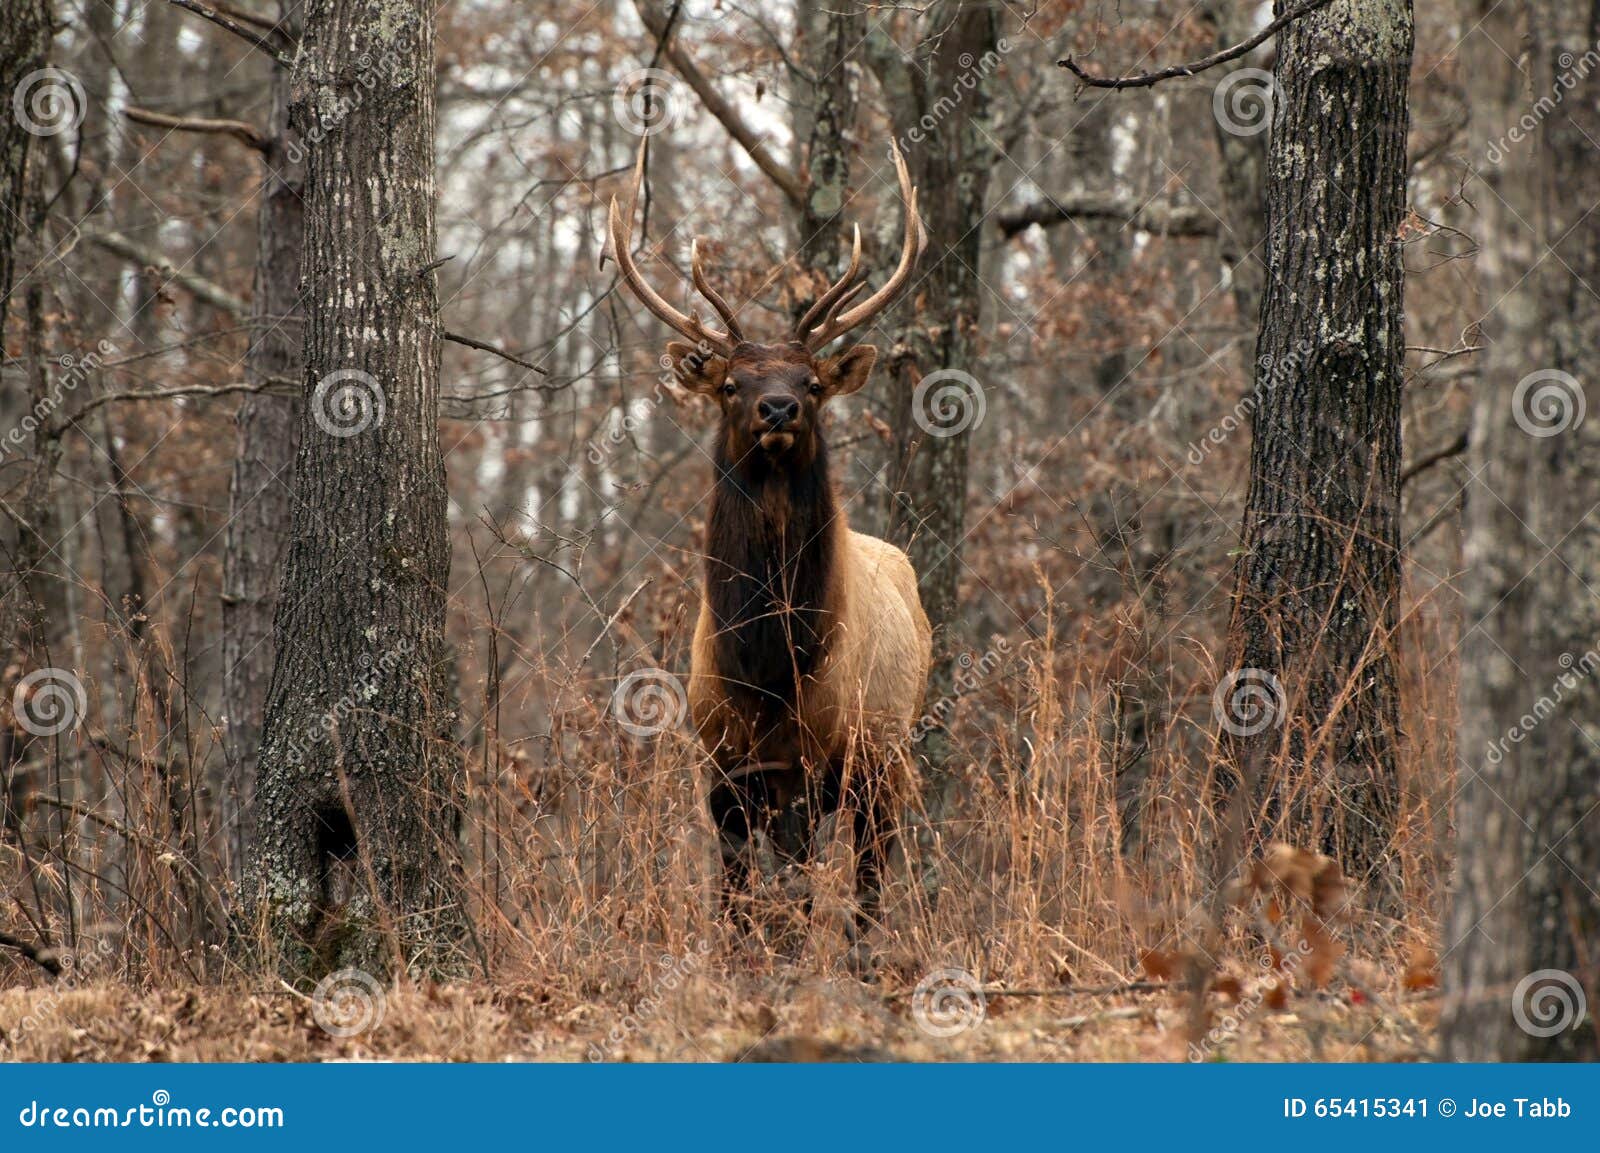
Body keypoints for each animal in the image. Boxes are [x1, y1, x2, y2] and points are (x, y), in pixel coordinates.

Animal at [606, 142, 933, 932]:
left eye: (812, 383)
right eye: (732, 385)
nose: (778, 406)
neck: (767, 663)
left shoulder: (817, 761)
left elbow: (801, 900)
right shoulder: (722, 764)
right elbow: (732, 904)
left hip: (888, 757)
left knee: (870, 884)